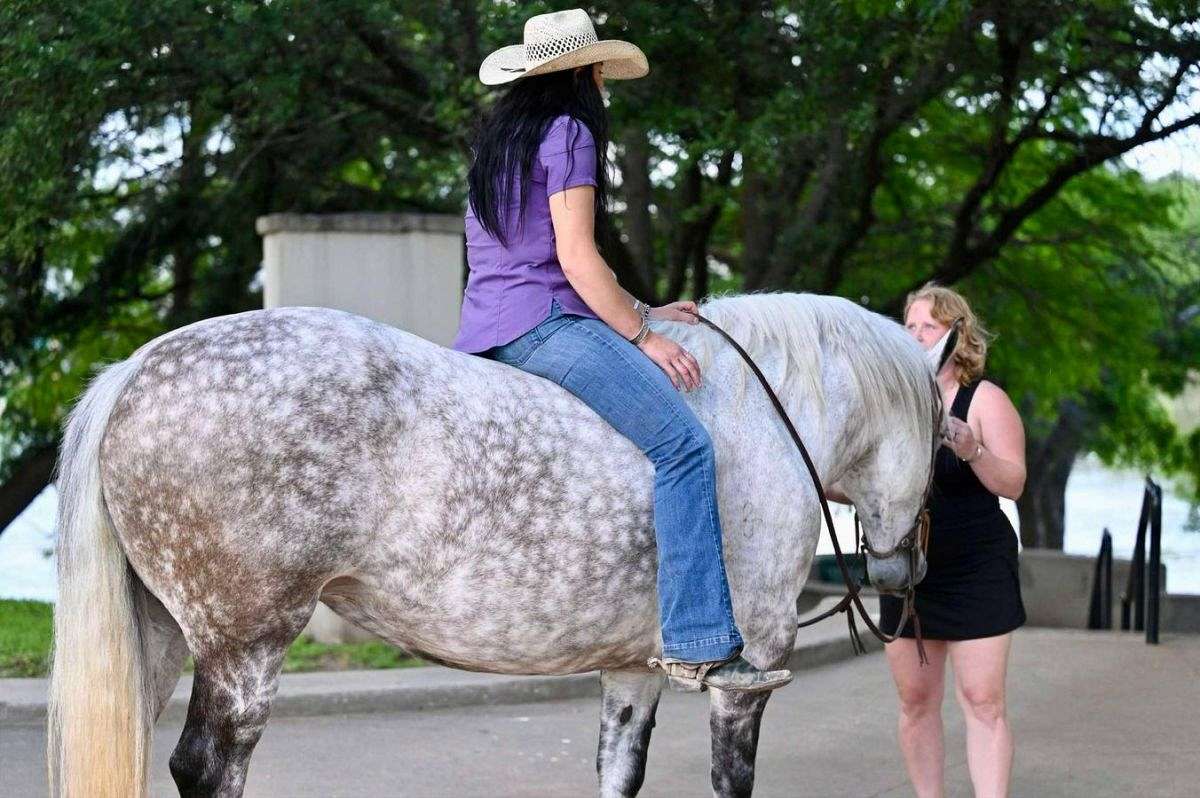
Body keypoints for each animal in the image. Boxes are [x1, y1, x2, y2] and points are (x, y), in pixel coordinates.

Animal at [46, 291, 943, 797]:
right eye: (946, 434)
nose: (907, 568)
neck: (762, 410)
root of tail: (136, 369)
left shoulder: (631, 670)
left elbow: (619, 772)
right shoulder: (746, 679)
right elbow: (732, 779)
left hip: (163, 637)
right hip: (244, 645)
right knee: (207, 769)